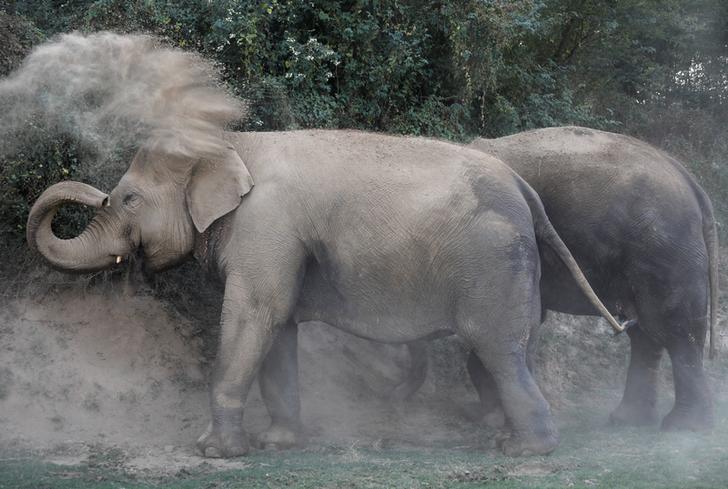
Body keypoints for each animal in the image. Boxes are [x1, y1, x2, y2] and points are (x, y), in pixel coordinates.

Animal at [27, 129, 625, 457]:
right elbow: (278, 327)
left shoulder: (266, 225)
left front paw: (214, 452)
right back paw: (507, 438)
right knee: (511, 350)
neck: (231, 144)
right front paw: (279, 444)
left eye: (128, 199)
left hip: (492, 264)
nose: (95, 193)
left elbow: (254, 315)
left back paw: (524, 450)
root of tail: (525, 189)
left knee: (499, 349)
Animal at [390, 126, 719, 431]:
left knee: (676, 330)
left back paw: (683, 427)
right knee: (646, 332)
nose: (393, 393)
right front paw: (491, 417)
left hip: (666, 251)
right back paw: (629, 420)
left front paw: (489, 419)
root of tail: (691, 181)